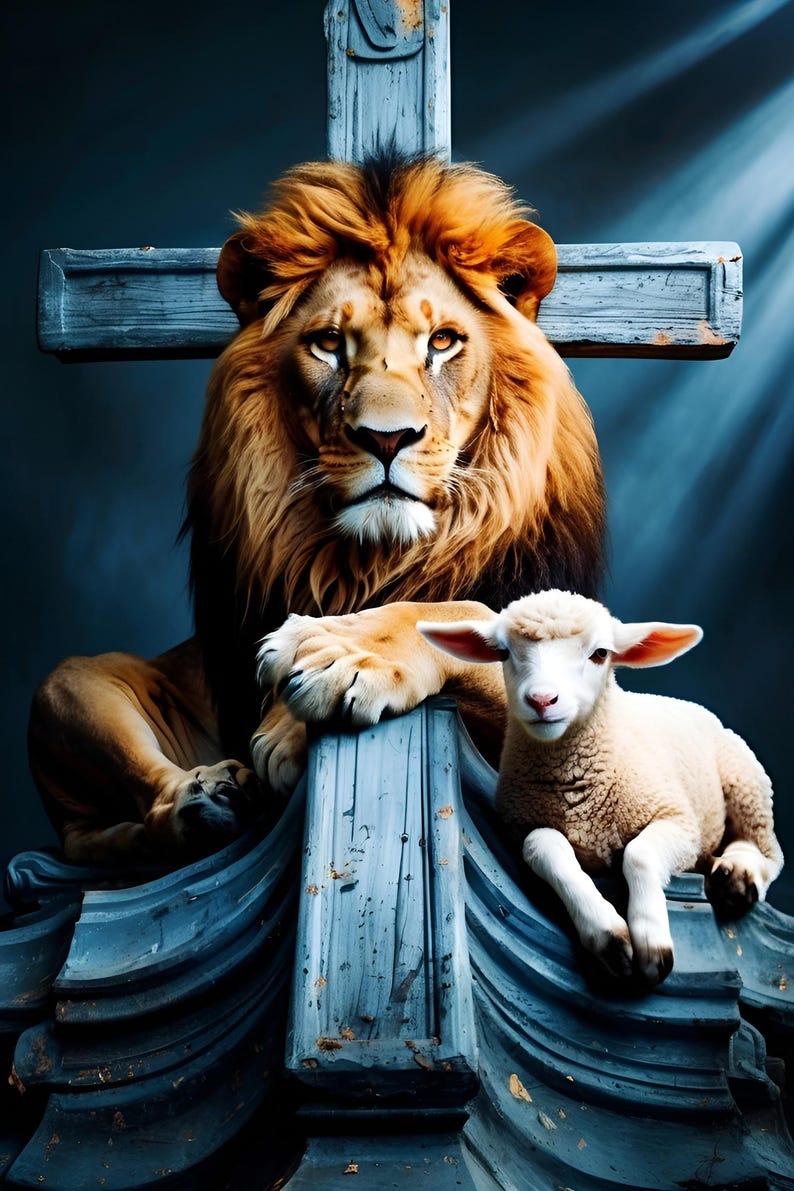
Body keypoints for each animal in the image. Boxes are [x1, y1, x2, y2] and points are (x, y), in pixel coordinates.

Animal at [28, 155, 605, 865]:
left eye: (443, 341)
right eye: (329, 343)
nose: (387, 438)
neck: (376, 560)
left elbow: (460, 611)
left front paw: (334, 658)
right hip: (73, 684)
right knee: (136, 810)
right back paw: (208, 797)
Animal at [418, 589, 783, 986]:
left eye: (600, 653)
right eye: (504, 652)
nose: (542, 700)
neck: (576, 790)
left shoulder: (680, 821)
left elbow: (638, 854)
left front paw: (652, 943)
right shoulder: (520, 827)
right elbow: (542, 845)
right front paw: (608, 936)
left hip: (743, 776)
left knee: (766, 849)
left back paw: (738, 874)